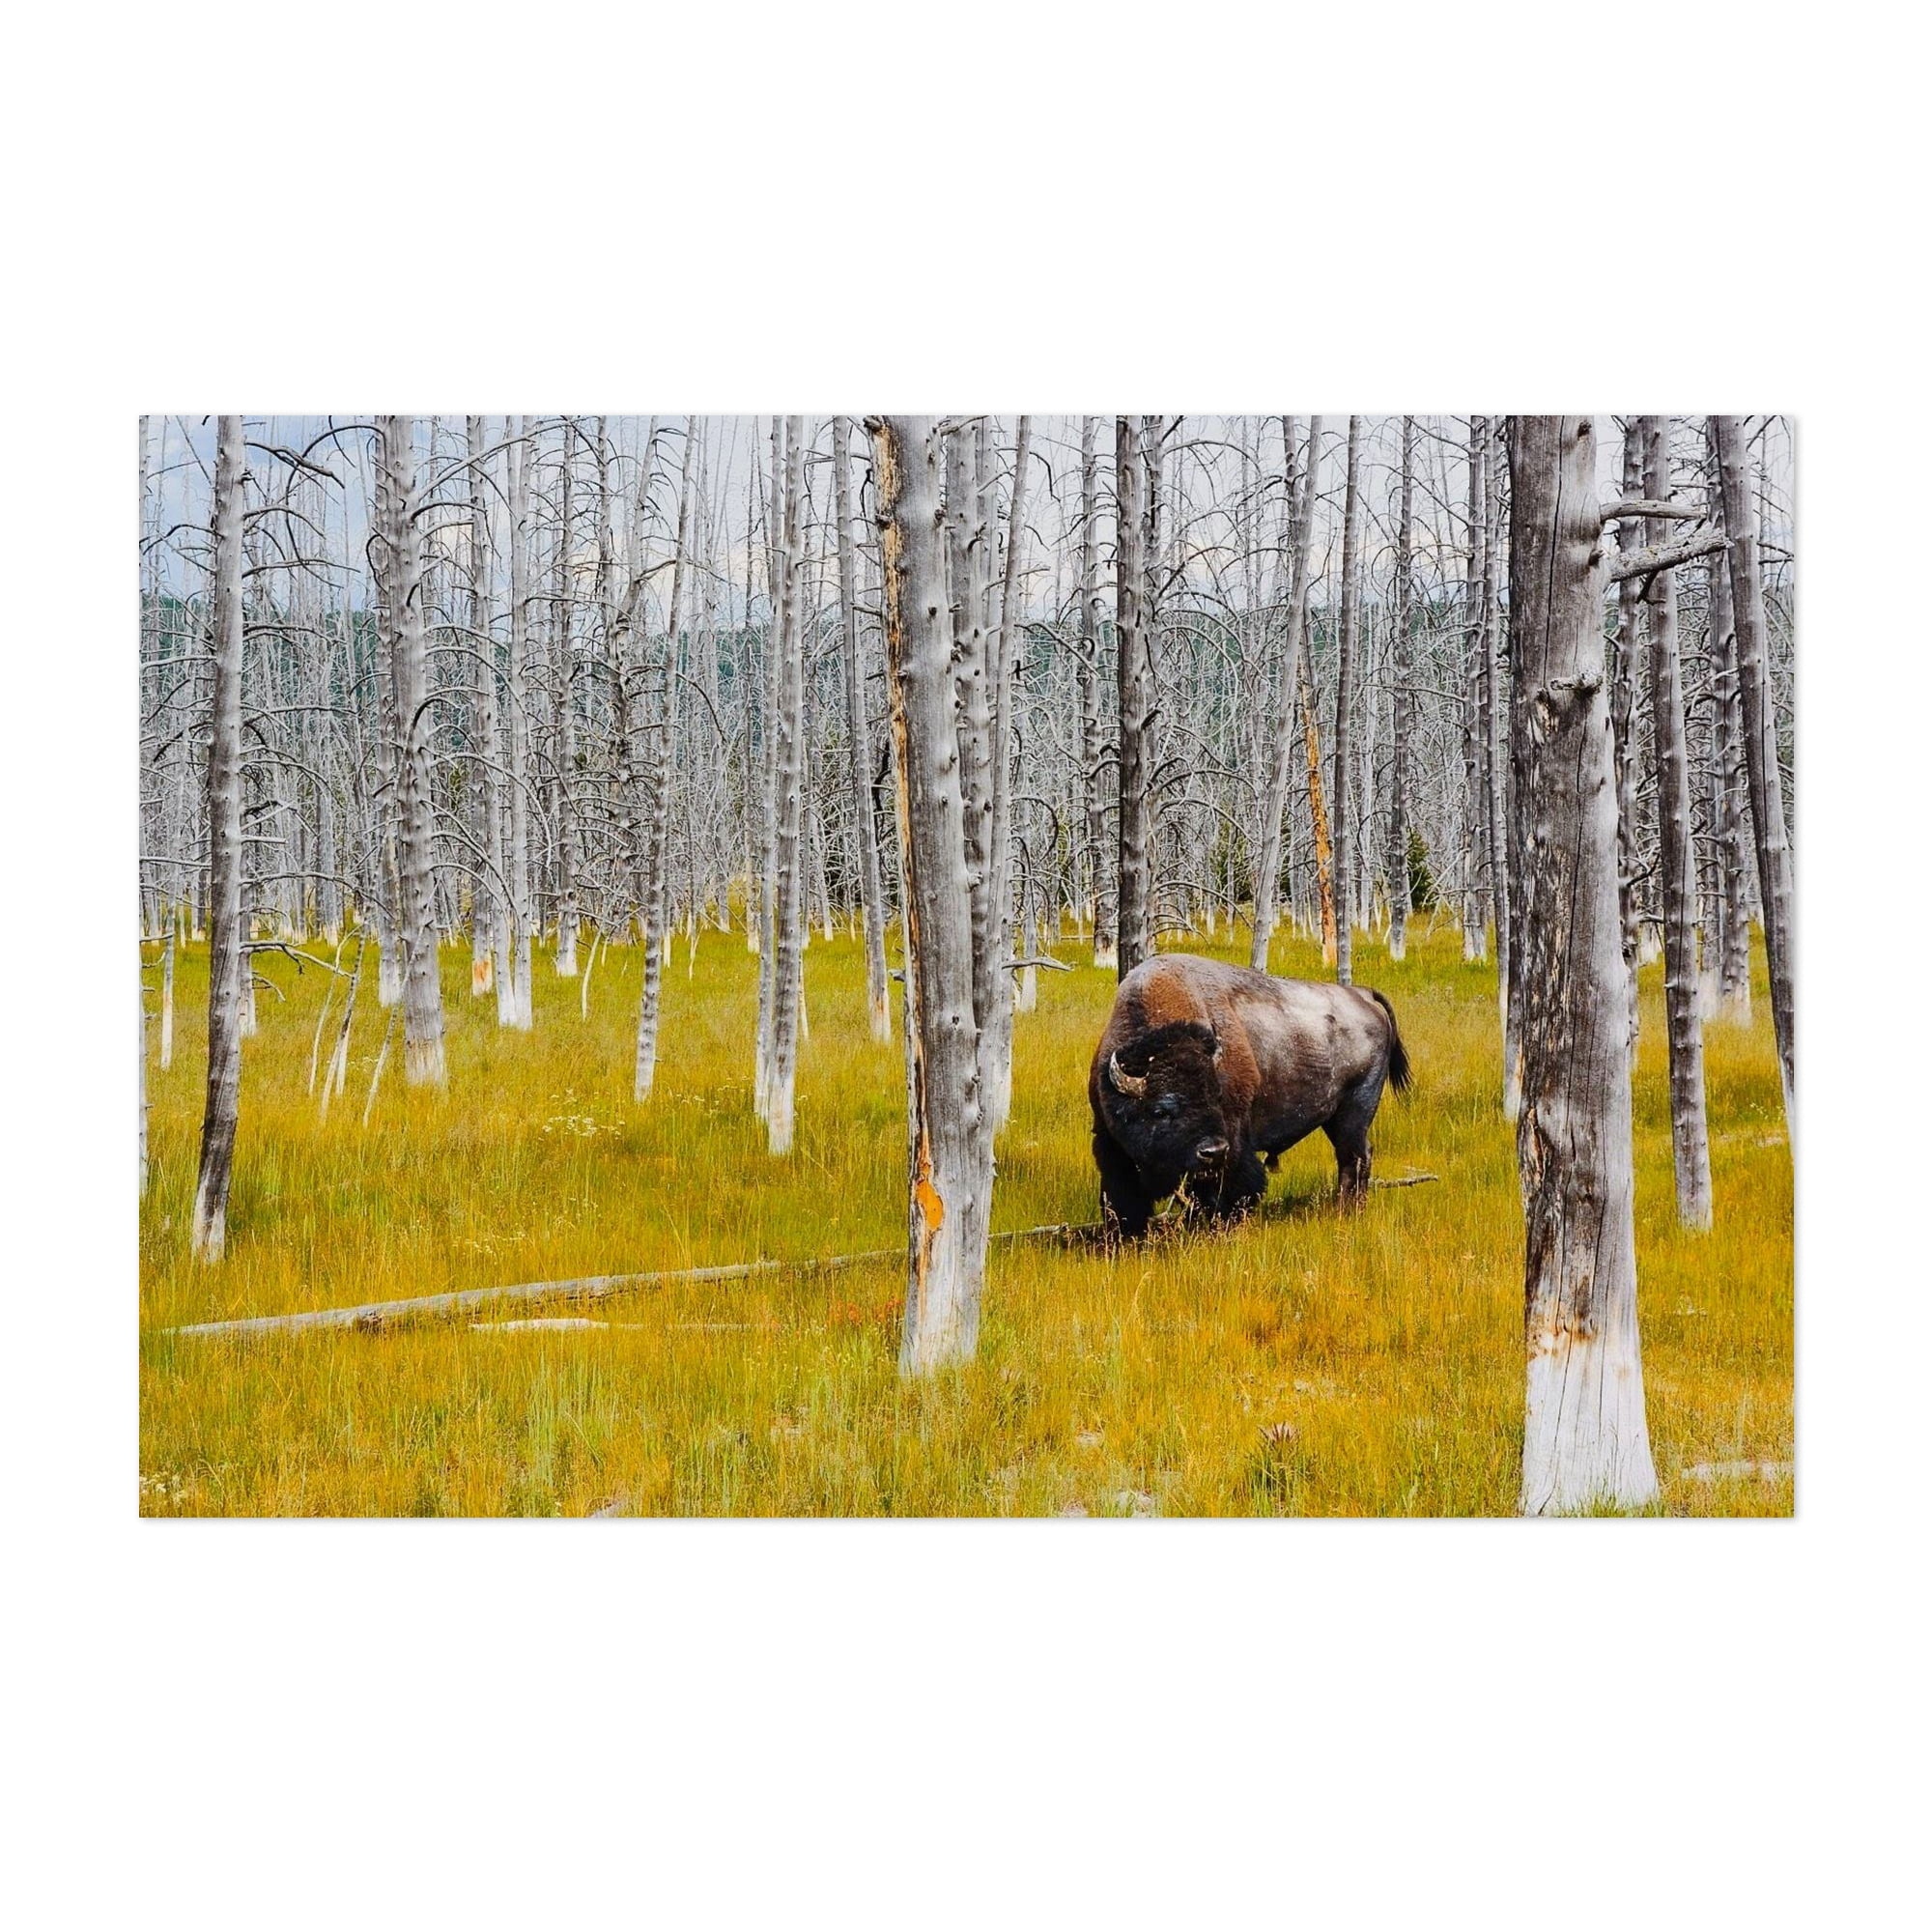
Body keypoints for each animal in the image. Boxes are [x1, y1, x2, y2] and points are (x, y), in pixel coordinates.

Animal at [1088, 954, 1411, 1238]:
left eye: (1217, 1100)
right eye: (1160, 1111)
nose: (1213, 1151)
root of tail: (1364, 994)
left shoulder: (1235, 1144)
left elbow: (1233, 1189)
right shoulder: (1111, 1145)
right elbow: (1122, 1196)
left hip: (1356, 1108)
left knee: (1355, 1158)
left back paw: (1348, 1211)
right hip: (1335, 1117)